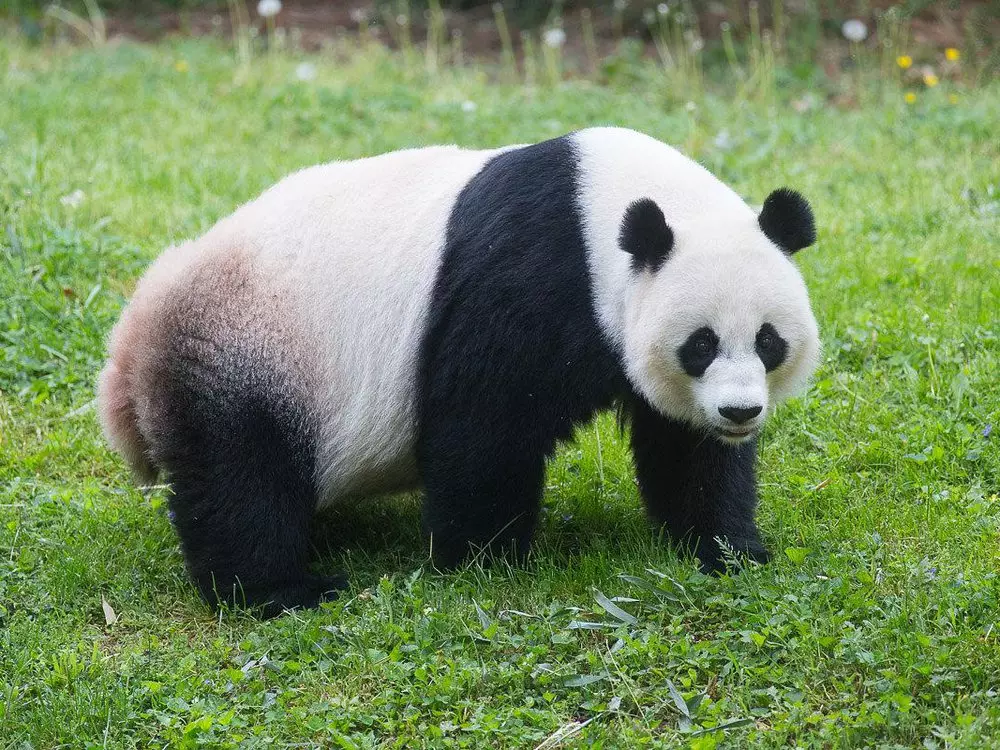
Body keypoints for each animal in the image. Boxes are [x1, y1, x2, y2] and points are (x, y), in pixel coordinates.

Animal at [99, 128, 820, 616]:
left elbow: (684, 448)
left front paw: (729, 548)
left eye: (768, 342)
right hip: (247, 352)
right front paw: (487, 561)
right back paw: (285, 590)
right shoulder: (536, 277)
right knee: (241, 478)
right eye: (700, 345)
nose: (739, 412)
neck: (602, 204)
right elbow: (484, 423)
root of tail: (132, 343)